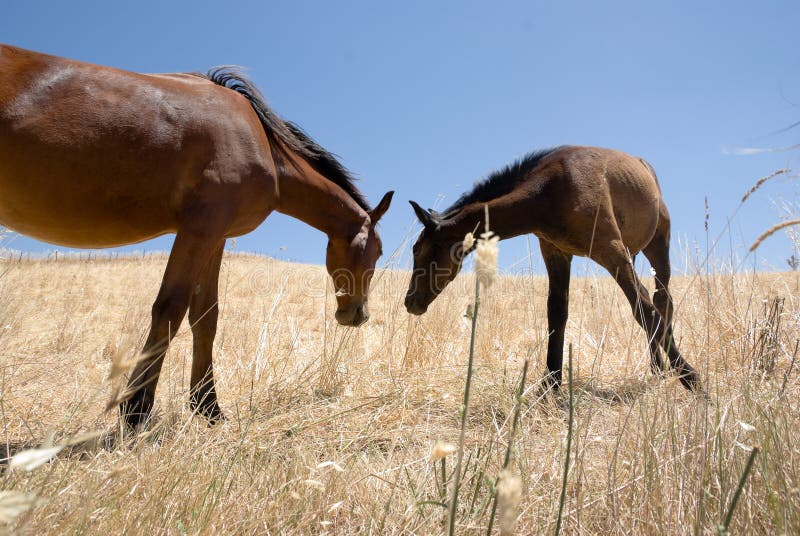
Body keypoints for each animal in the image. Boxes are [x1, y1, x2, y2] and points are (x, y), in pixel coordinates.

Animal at [0, 44, 393, 429]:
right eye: (377, 253)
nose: (358, 314)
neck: (257, 140)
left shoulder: (215, 236)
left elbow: (205, 318)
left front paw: (209, 407)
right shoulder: (200, 228)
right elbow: (169, 309)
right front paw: (137, 410)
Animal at [404, 145, 699, 392]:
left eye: (417, 249)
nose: (410, 301)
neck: (550, 191)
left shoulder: (609, 248)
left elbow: (644, 310)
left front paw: (692, 378)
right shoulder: (556, 251)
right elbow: (557, 313)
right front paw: (551, 384)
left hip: (657, 243)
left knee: (662, 301)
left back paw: (667, 369)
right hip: (631, 251)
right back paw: (657, 368)